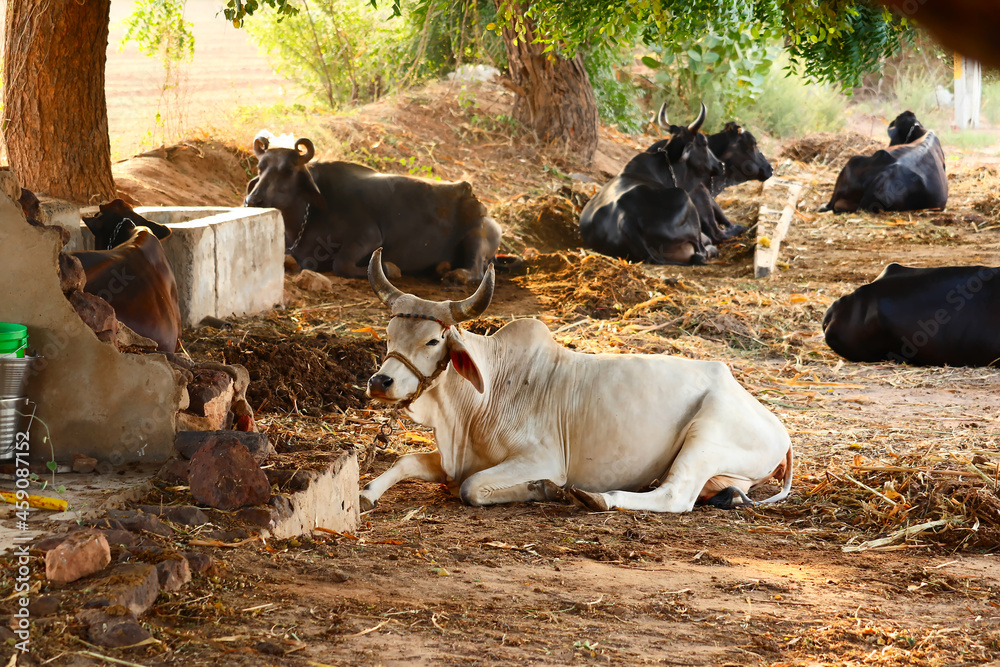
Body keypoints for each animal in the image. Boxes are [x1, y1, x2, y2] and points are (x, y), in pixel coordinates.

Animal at [244, 136, 501, 283]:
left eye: (288, 171)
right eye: (260, 168)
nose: (252, 200)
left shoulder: (369, 236)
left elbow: (341, 264)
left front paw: (390, 269)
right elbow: (288, 260)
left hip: (477, 235)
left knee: (477, 269)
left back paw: (456, 275)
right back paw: (442, 268)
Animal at [361, 248, 793, 513]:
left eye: (434, 340)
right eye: (389, 335)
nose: (380, 382)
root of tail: (779, 429)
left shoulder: (542, 457)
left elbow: (471, 487)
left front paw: (544, 489)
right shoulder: (453, 458)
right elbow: (406, 461)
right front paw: (366, 492)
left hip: (704, 438)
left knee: (675, 494)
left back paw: (599, 498)